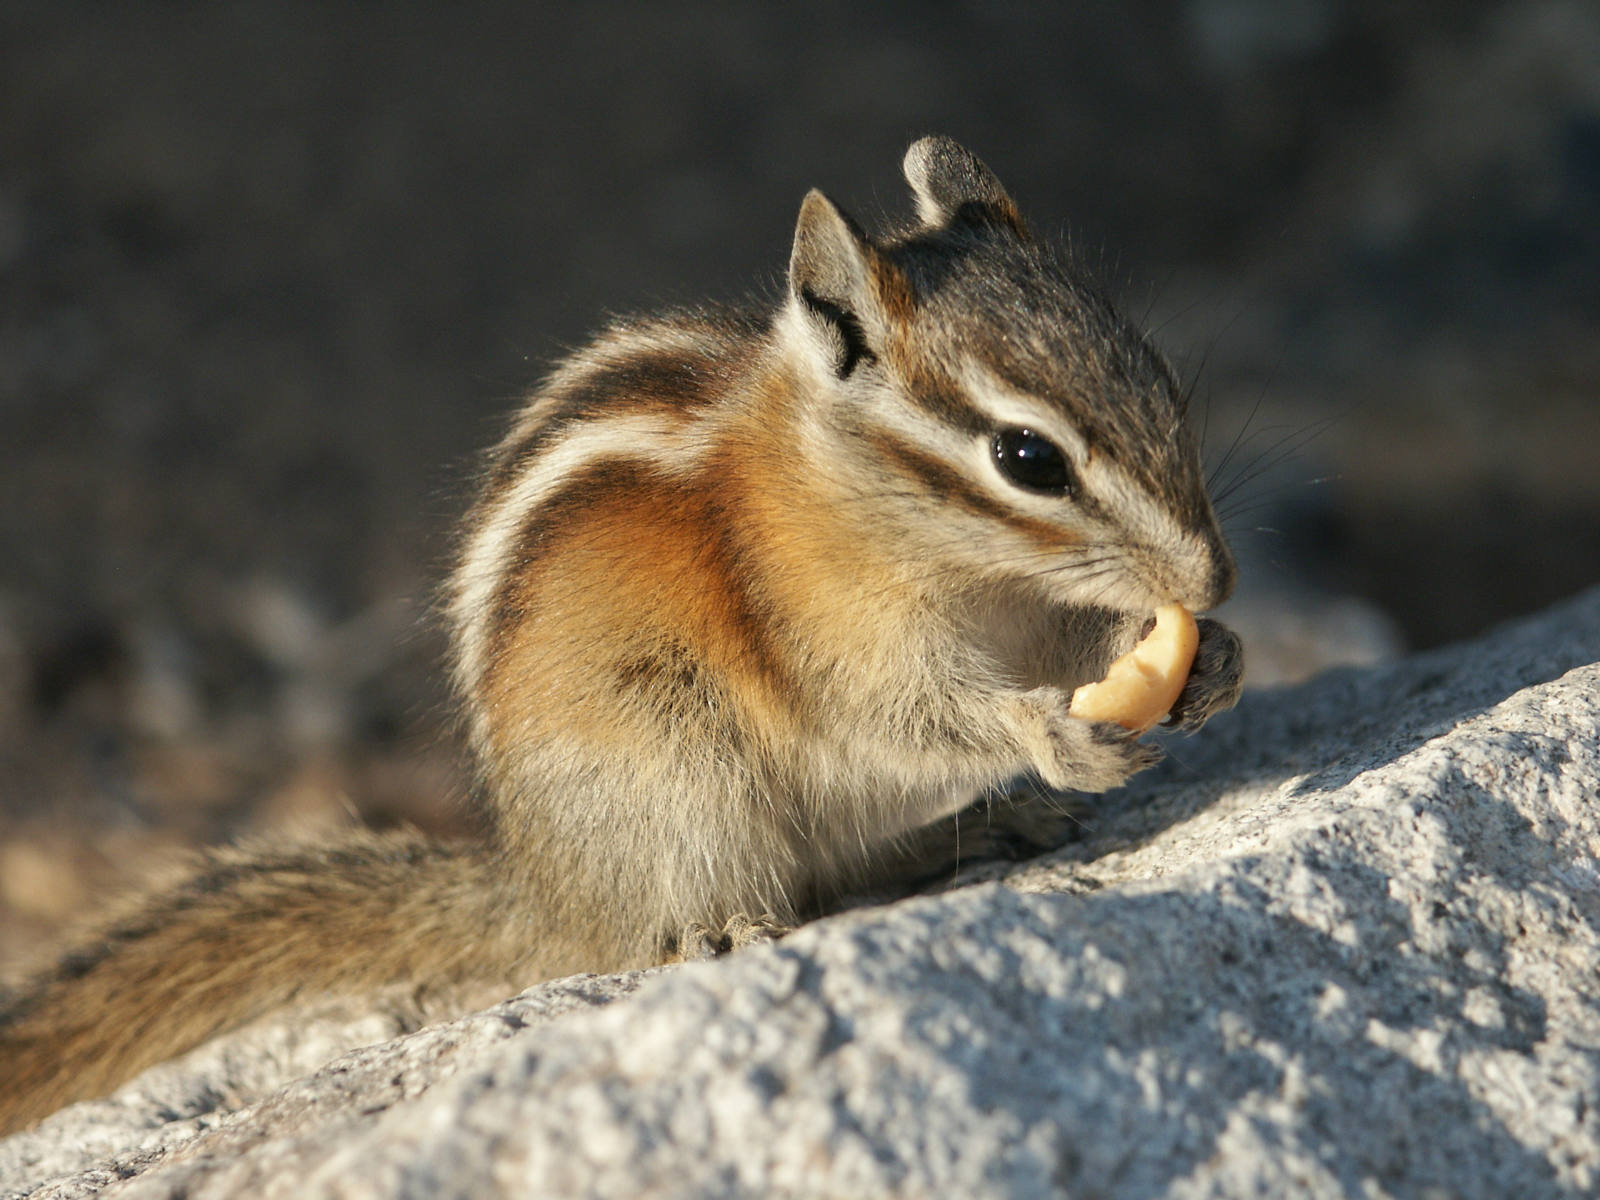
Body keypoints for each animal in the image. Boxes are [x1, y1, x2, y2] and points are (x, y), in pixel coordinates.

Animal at [0, 137, 1243, 1134]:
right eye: (1028, 459)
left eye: (1161, 383)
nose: (1215, 576)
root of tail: (546, 891)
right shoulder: (827, 641)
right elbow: (909, 715)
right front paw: (1051, 737)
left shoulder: (1034, 616)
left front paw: (1210, 664)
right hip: (672, 774)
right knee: (708, 916)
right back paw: (720, 934)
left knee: (844, 873)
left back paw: (984, 826)